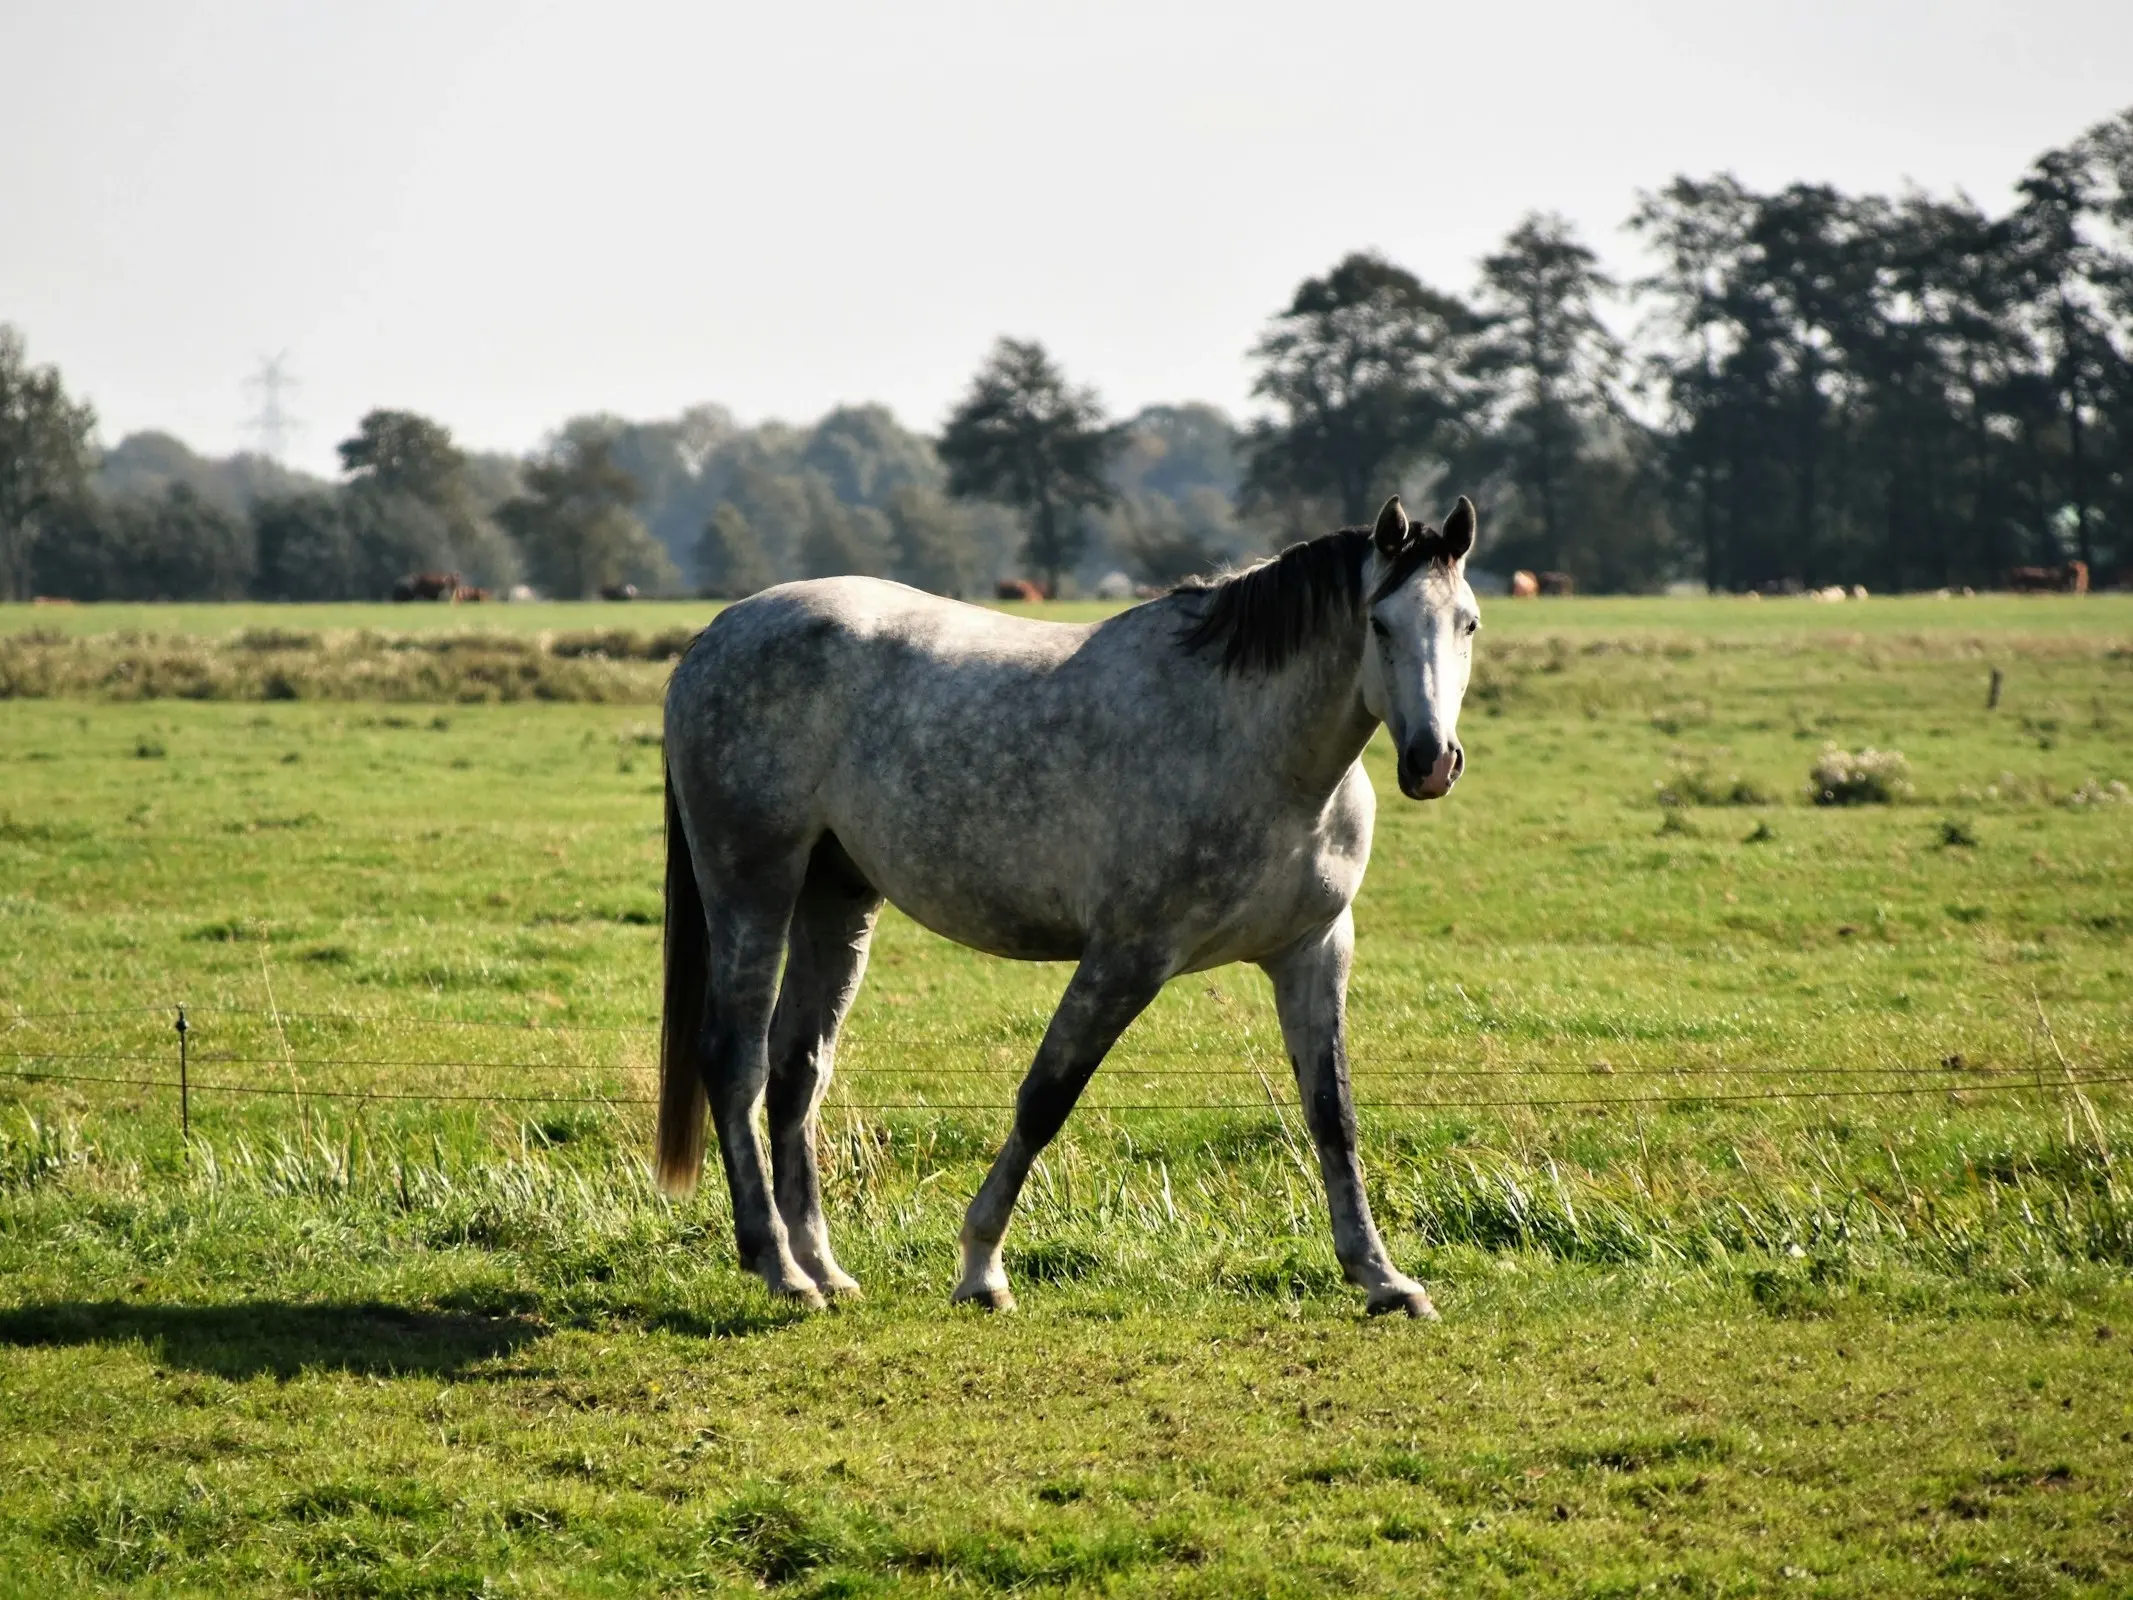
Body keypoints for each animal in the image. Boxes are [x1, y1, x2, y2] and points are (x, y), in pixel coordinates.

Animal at [656, 494, 1481, 1318]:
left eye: (1466, 622)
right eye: (1380, 624)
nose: (1431, 761)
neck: (1257, 748)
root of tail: (717, 634)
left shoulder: (1313, 950)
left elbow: (1331, 1113)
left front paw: (1382, 1277)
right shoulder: (1126, 958)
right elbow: (1044, 1101)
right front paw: (980, 1269)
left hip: (837, 897)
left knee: (798, 1070)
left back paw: (822, 1267)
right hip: (752, 885)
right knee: (734, 1060)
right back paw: (778, 1266)